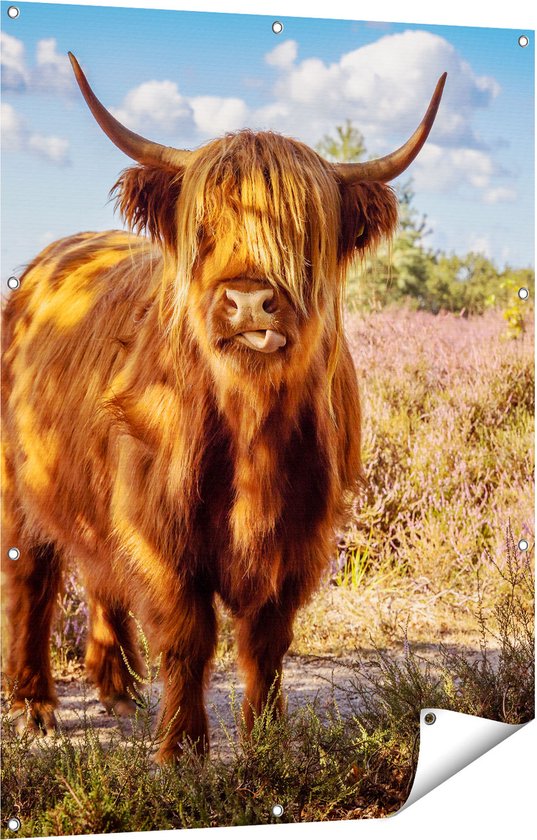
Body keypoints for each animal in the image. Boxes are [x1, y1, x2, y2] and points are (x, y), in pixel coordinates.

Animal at [2, 53, 446, 762]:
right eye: (205, 230)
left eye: (302, 233)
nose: (249, 302)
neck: (250, 430)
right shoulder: (159, 530)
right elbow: (188, 635)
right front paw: (183, 749)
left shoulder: (301, 534)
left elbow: (266, 640)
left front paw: (266, 740)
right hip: (19, 485)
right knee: (31, 579)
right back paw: (32, 705)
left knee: (100, 573)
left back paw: (119, 691)